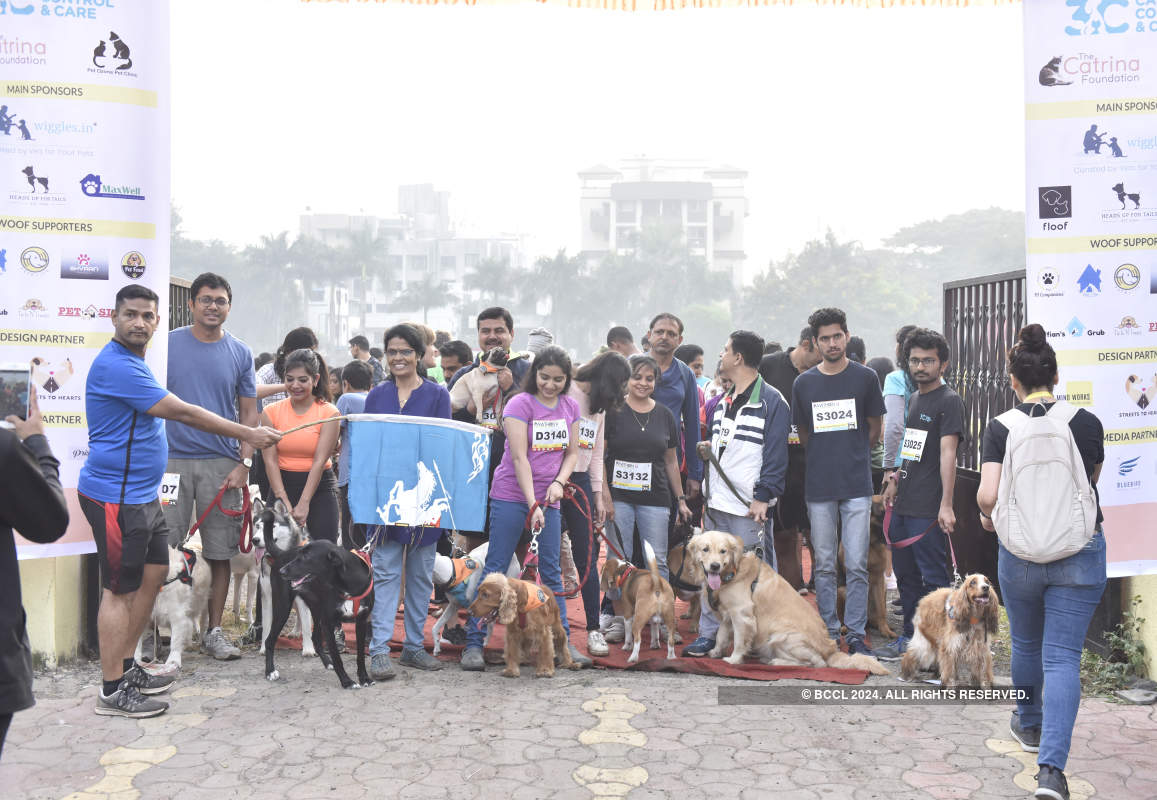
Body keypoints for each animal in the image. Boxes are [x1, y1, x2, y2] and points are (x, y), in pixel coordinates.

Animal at [278, 537, 372, 690]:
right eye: (299, 555)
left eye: (306, 556)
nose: (281, 571)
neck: (346, 584)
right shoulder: (328, 623)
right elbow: (337, 657)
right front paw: (347, 681)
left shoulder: (361, 621)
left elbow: (360, 655)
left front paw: (364, 678)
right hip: (282, 609)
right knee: (269, 640)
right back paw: (270, 672)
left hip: (317, 611)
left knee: (315, 638)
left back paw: (328, 663)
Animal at [689, 532, 888, 676]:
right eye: (705, 549)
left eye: (723, 551)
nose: (715, 566)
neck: (733, 571)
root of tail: (831, 650)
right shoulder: (728, 615)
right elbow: (721, 635)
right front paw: (715, 651)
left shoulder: (742, 614)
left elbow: (739, 641)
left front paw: (733, 660)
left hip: (781, 633)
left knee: (816, 663)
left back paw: (776, 661)